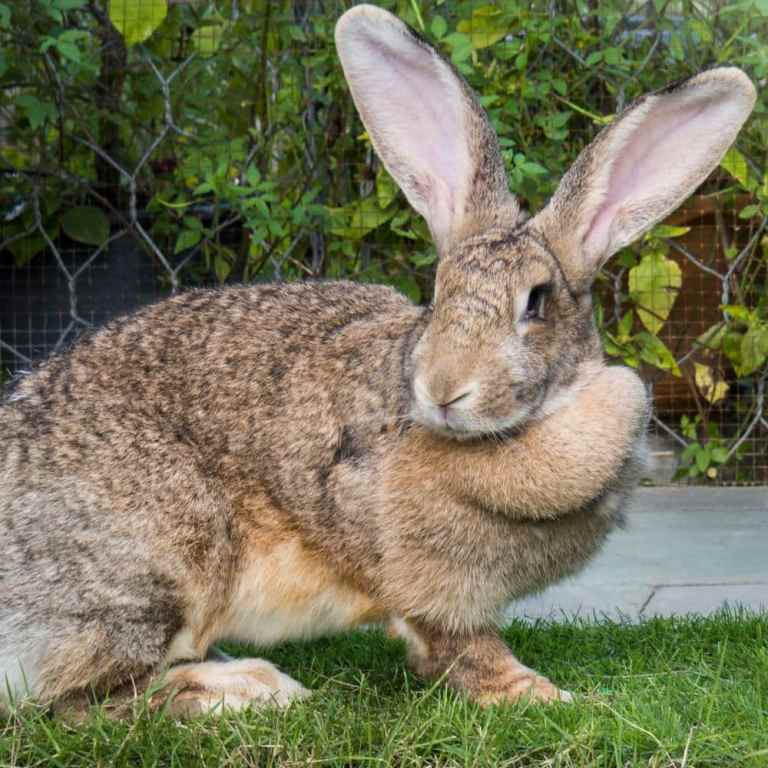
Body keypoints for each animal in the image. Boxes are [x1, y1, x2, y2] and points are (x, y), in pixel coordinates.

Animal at [0, 3, 756, 717]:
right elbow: (462, 648)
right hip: (158, 563)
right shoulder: (428, 583)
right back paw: (247, 690)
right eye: (438, 291)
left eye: (536, 303)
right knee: (82, 701)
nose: (443, 389)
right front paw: (544, 697)